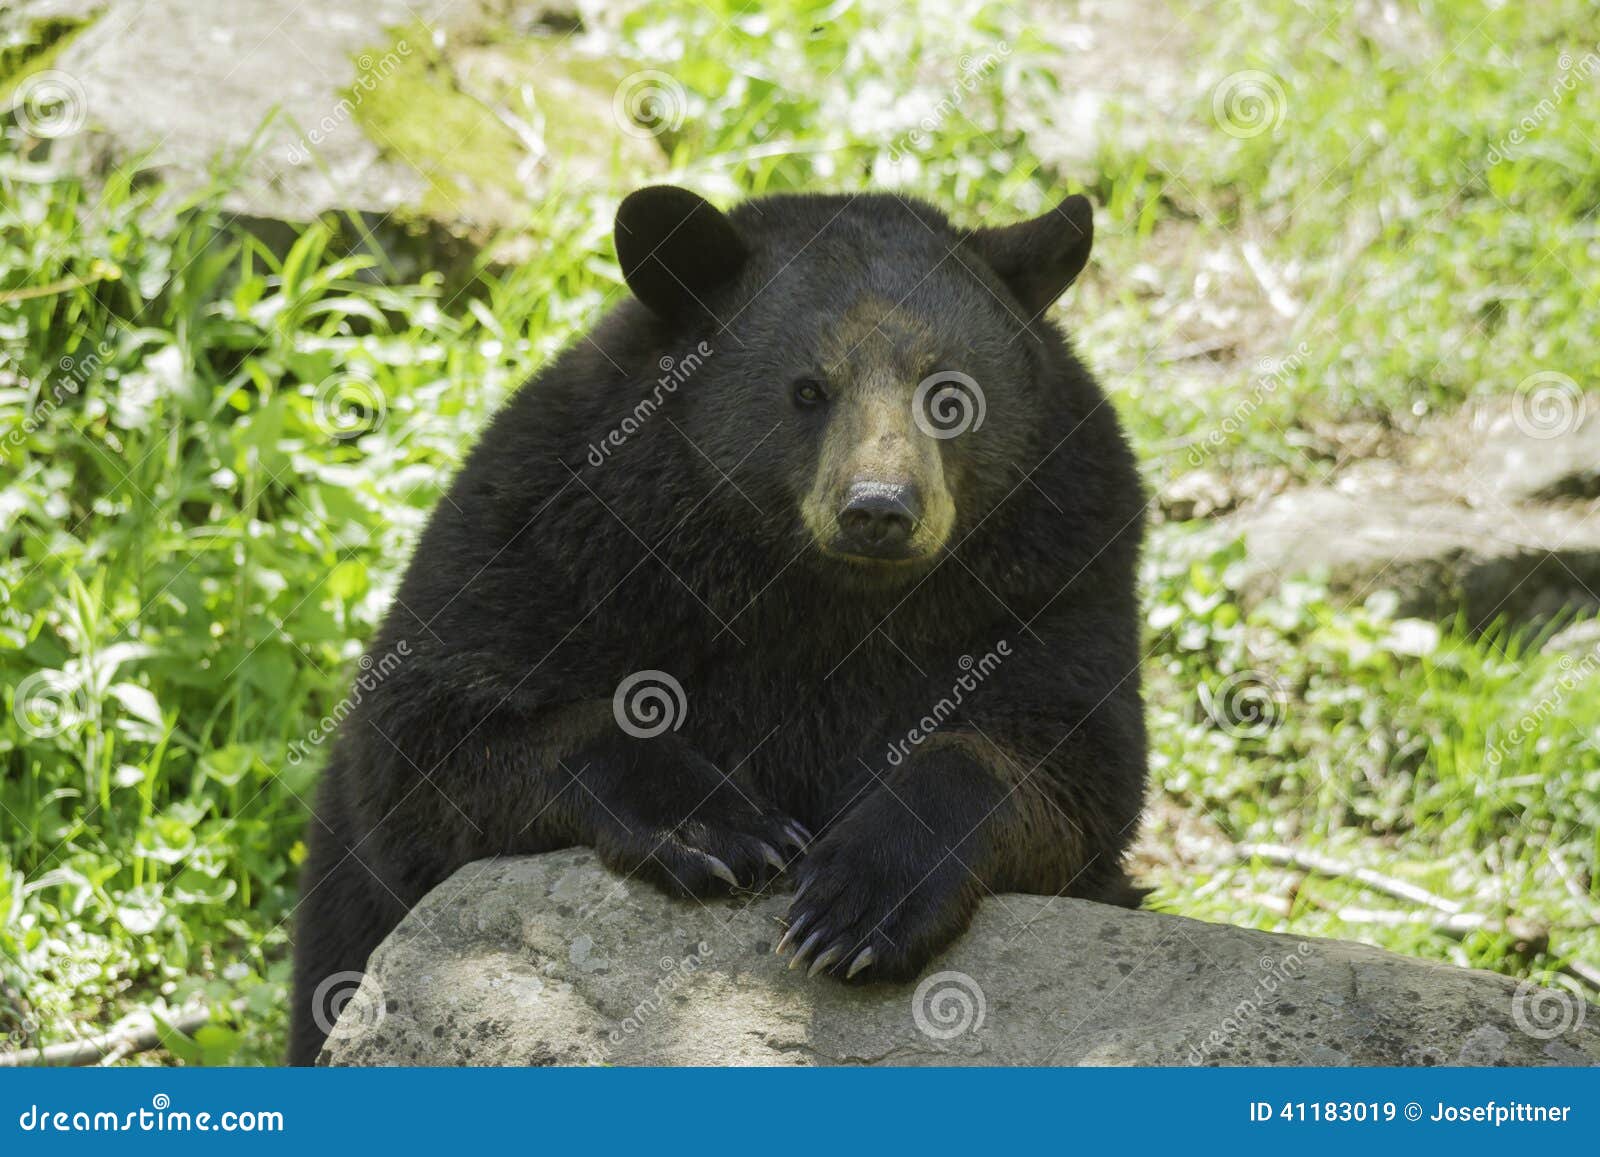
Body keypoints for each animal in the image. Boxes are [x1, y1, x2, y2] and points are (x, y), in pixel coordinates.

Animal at [288, 184, 1148, 1065]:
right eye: (807, 390)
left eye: (949, 394)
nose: (878, 509)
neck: (818, 595)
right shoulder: (552, 543)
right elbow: (426, 747)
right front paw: (724, 828)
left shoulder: (1052, 586)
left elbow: (1069, 763)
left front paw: (859, 901)